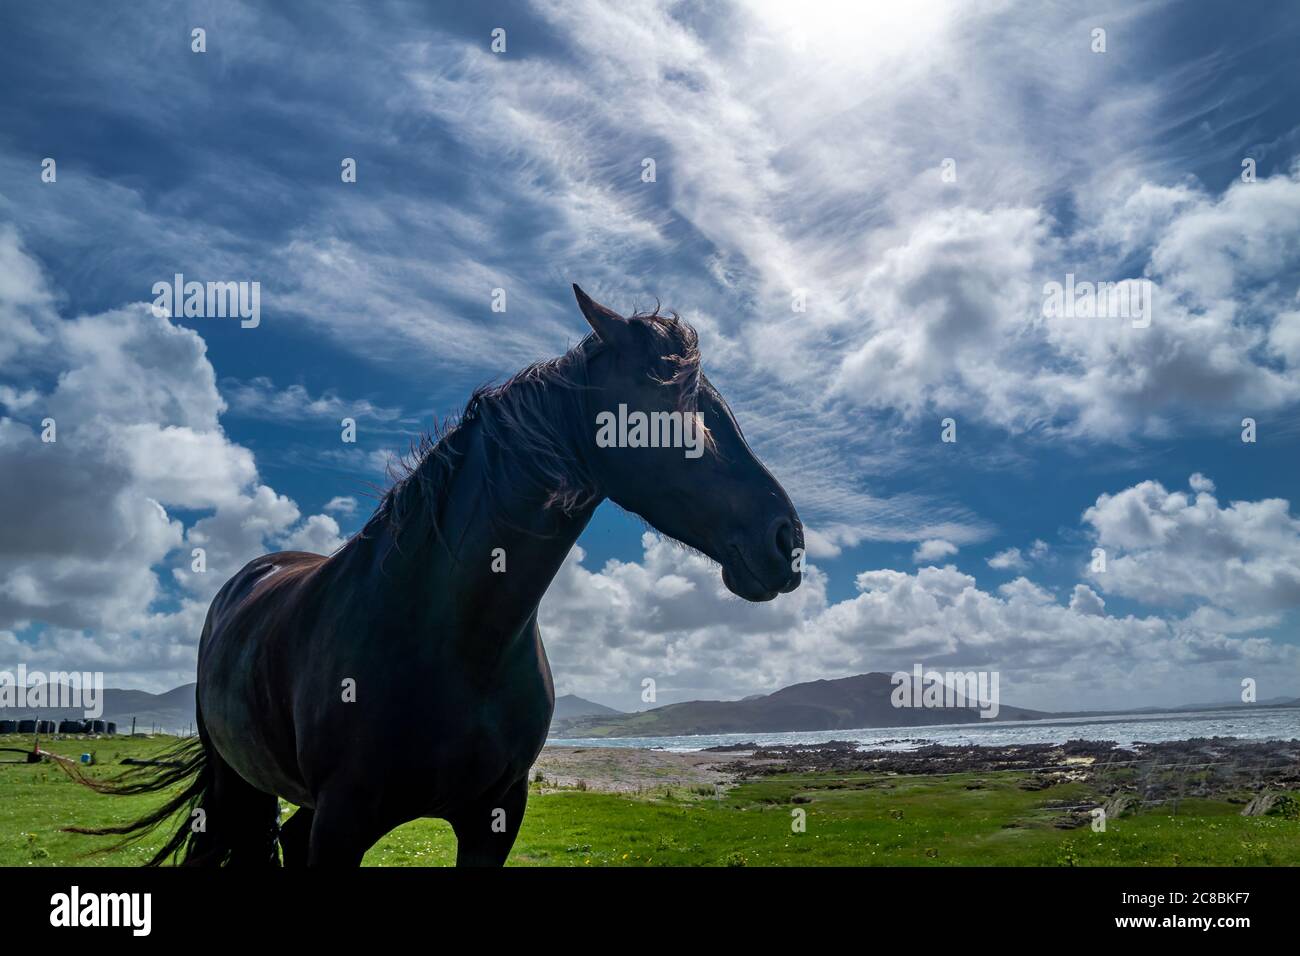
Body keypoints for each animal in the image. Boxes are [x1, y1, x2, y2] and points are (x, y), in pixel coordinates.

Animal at [72, 285, 803, 866]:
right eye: (676, 406)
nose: (787, 541)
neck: (454, 636)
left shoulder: (493, 819)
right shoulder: (342, 824)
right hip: (236, 783)